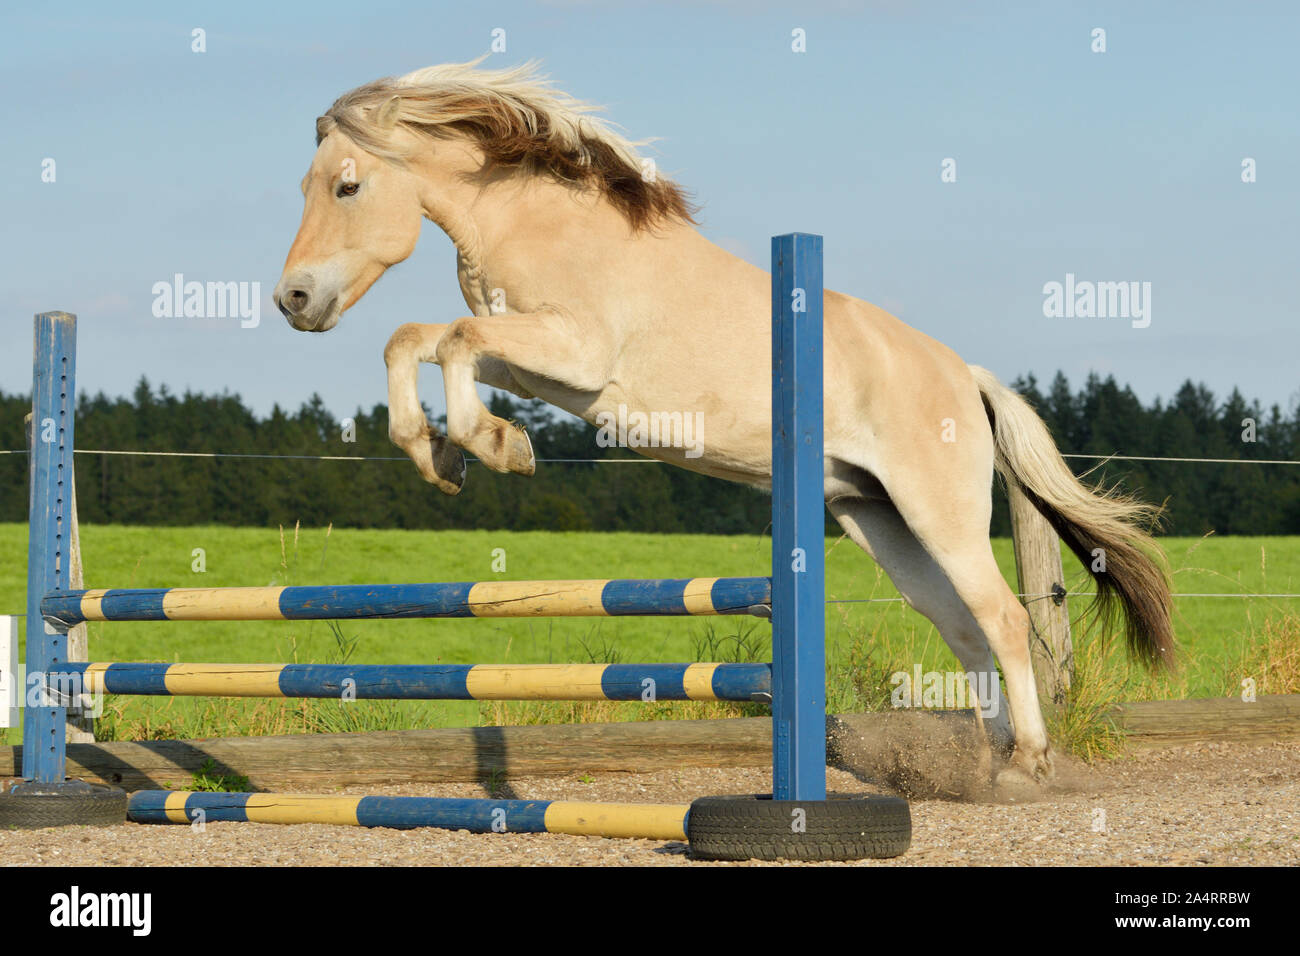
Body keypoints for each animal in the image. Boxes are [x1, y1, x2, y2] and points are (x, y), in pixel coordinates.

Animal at [273, 59, 1173, 787]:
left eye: (347, 187)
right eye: (306, 189)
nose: (293, 301)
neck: (539, 221)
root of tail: (965, 377)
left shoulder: (573, 353)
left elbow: (451, 340)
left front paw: (498, 448)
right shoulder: (533, 366)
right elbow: (416, 341)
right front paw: (445, 458)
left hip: (936, 513)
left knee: (1005, 619)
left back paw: (1028, 763)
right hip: (876, 517)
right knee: (962, 626)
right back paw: (980, 763)